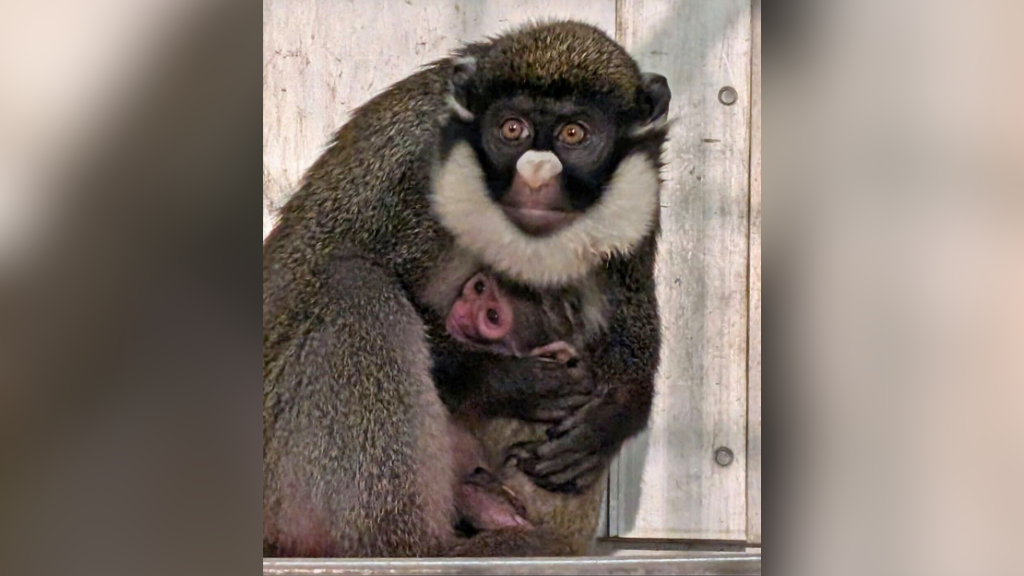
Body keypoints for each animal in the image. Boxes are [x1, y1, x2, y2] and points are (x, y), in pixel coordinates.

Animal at [263, 20, 671, 557]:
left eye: (574, 134)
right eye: (512, 129)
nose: (535, 175)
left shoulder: (644, 181)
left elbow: (629, 320)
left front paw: (610, 418)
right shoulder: (418, 172)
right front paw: (511, 382)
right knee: (353, 285)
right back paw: (412, 545)